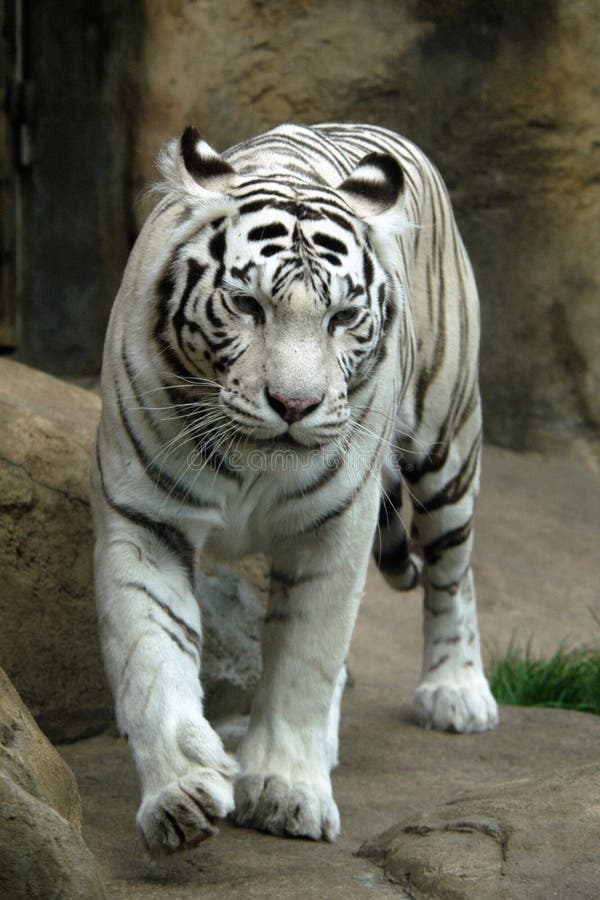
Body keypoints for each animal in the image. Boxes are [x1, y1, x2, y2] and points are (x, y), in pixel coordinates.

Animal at [90, 122, 498, 855]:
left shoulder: (333, 528)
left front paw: (287, 792)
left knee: (454, 569)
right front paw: (181, 794)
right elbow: (151, 657)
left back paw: (456, 692)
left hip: (447, 443)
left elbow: (306, 659)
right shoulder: (143, 520)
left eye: (343, 316)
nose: (294, 404)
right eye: (247, 305)